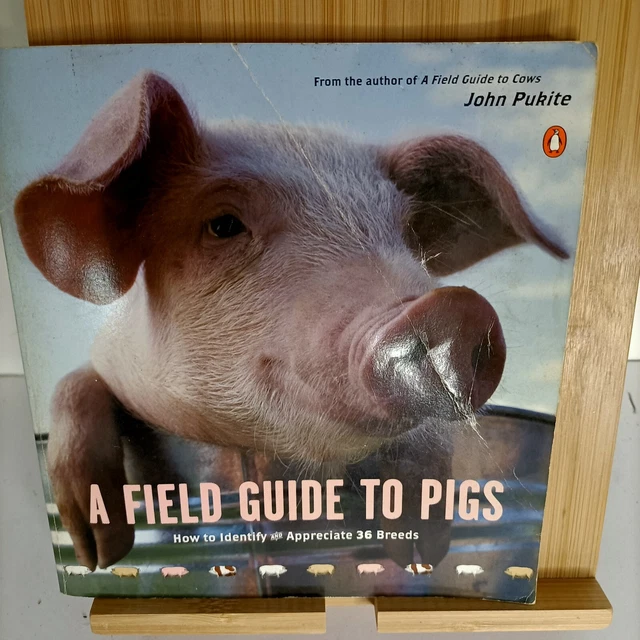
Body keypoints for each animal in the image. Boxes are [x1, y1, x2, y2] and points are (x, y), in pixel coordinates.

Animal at [14, 71, 568, 571]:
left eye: (408, 231)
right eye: (222, 225)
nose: (454, 308)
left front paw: (420, 552)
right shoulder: (117, 361)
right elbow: (76, 382)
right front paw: (98, 553)